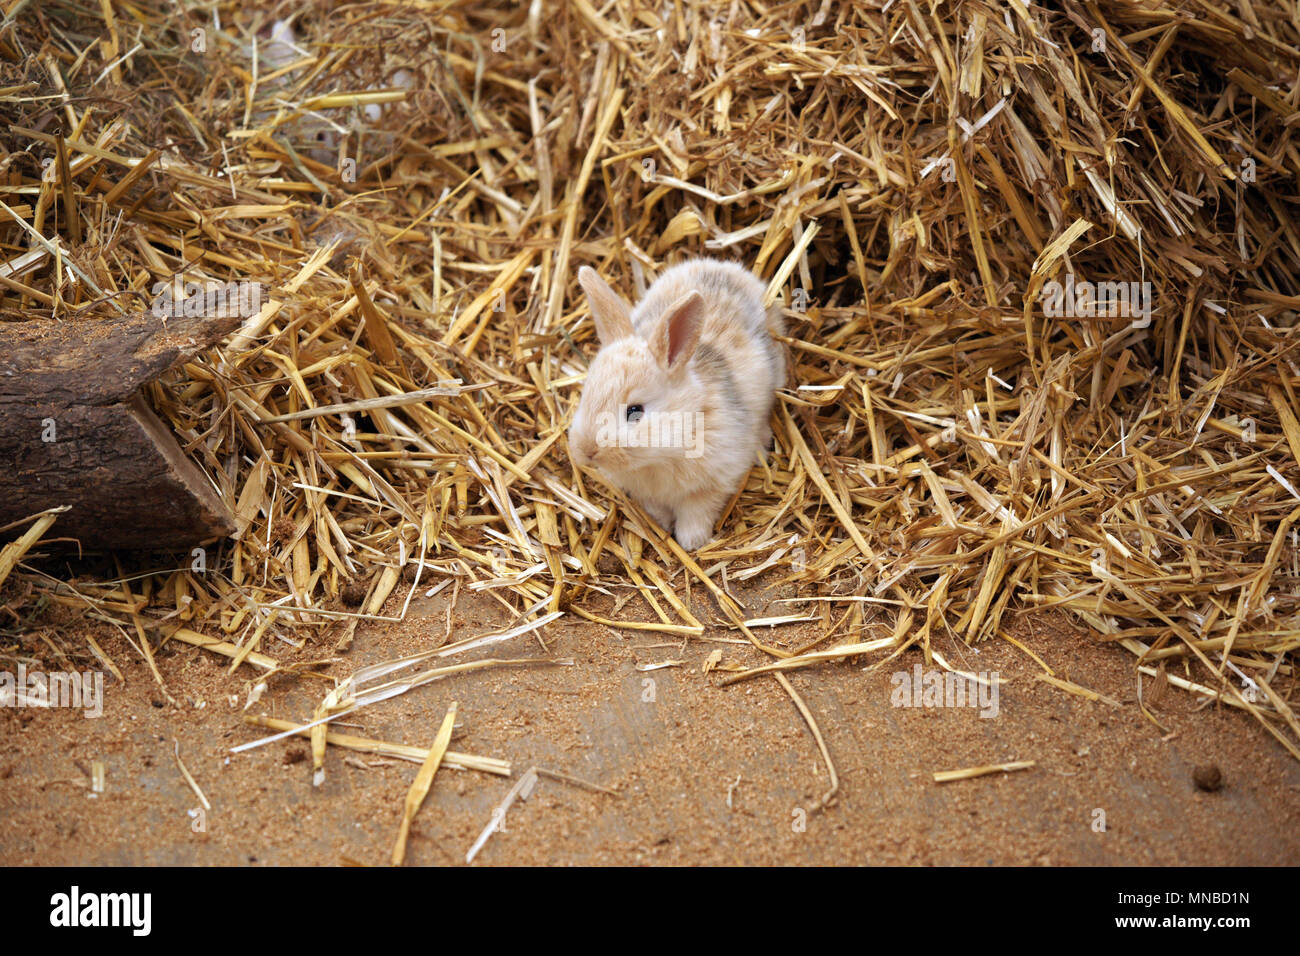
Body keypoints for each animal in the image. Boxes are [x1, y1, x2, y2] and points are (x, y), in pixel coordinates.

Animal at [568, 258, 786, 550]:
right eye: (586, 394)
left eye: (635, 411)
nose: (586, 451)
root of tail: (725, 267)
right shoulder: (647, 494)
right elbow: (656, 508)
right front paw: (661, 525)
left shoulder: (714, 483)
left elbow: (697, 512)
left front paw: (691, 542)